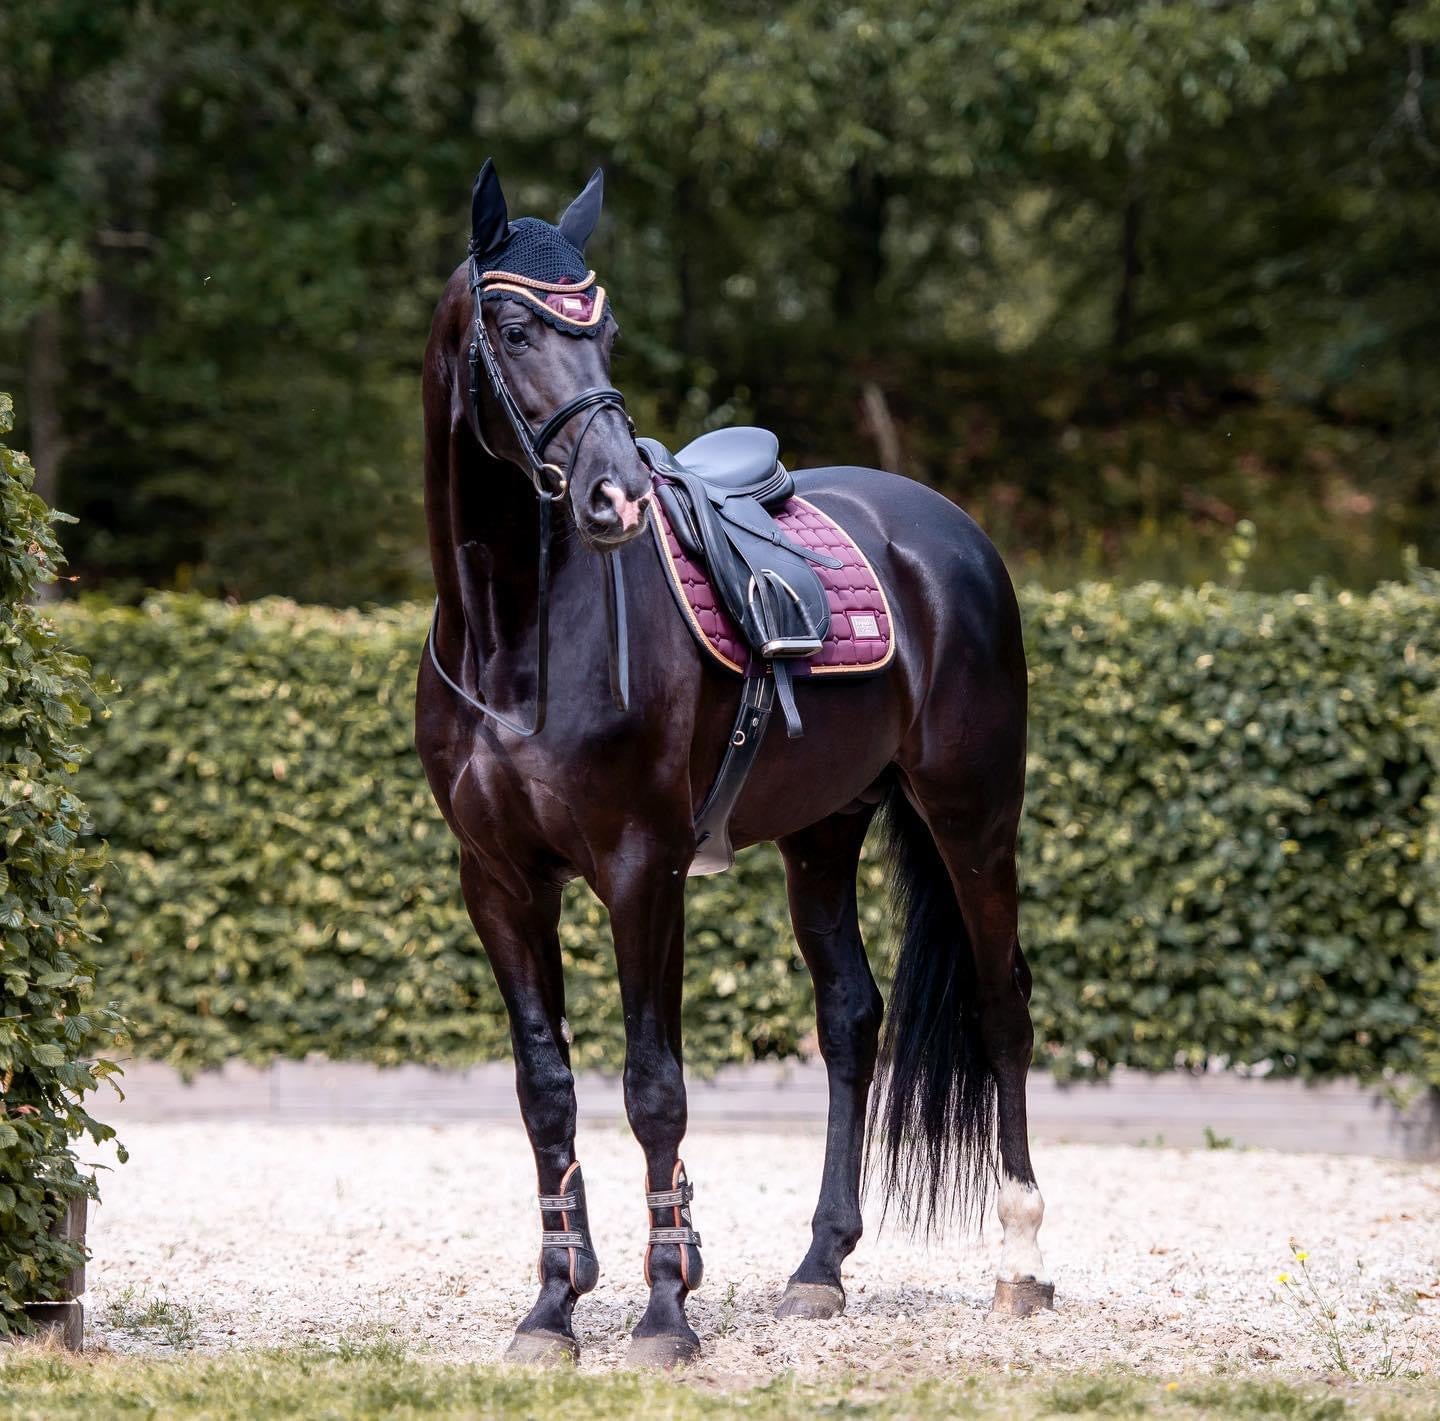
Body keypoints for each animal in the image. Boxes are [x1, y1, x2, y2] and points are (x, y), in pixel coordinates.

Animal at [415, 160, 1050, 1368]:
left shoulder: (641, 866)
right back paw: (819, 1267)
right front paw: (554, 1306)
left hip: (973, 816)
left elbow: (654, 1086)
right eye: (514, 328)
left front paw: (666, 1309)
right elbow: (545, 1089)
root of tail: (945, 531)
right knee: (851, 1017)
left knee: (1003, 1004)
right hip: (823, 834)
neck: (517, 638)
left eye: (606, 329)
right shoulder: (498, 881)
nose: (613, 495)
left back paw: (1023, 1262)